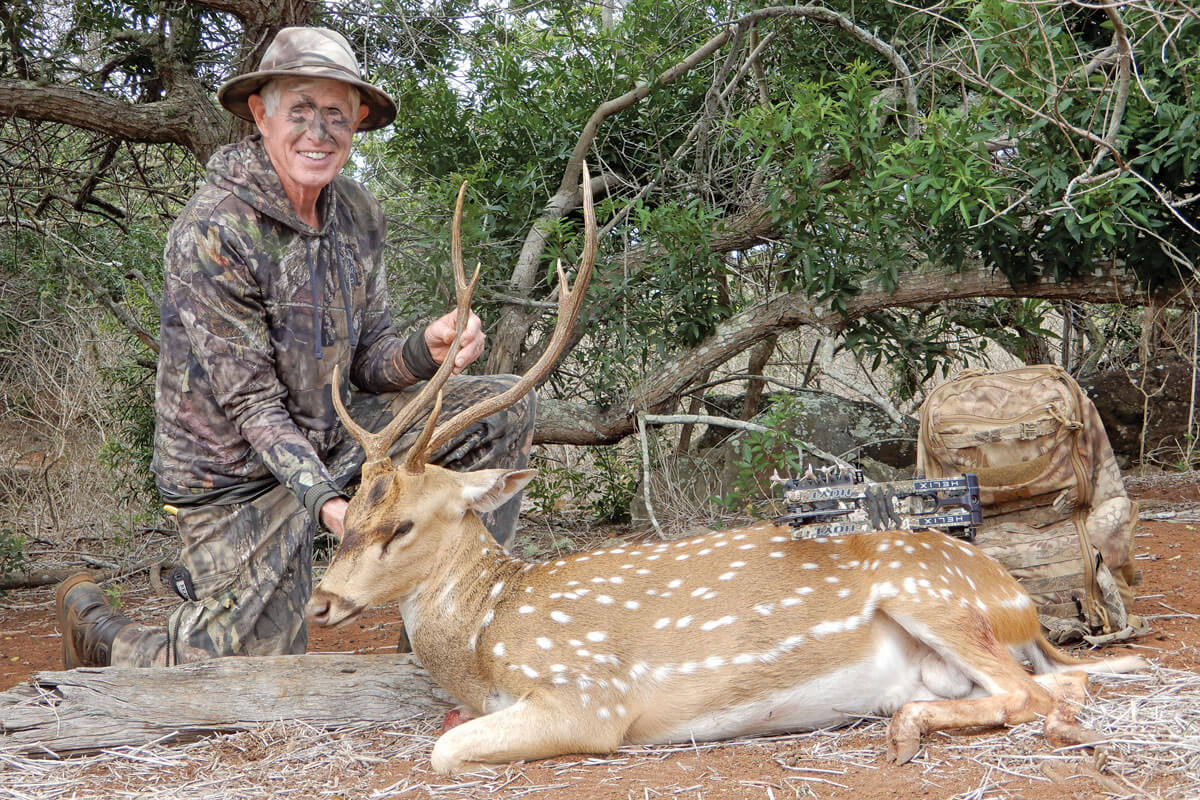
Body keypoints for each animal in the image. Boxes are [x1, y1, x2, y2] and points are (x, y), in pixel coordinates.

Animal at [306, 165, 1146, 776]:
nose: (321, 602)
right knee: (1059, 682)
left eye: (403, 523)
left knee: (1035, 692)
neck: (488, 636)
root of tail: (1020, 602)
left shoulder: (591, 694)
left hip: (934, 598)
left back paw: (917, 732)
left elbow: (444, 751)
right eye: (354, 508)